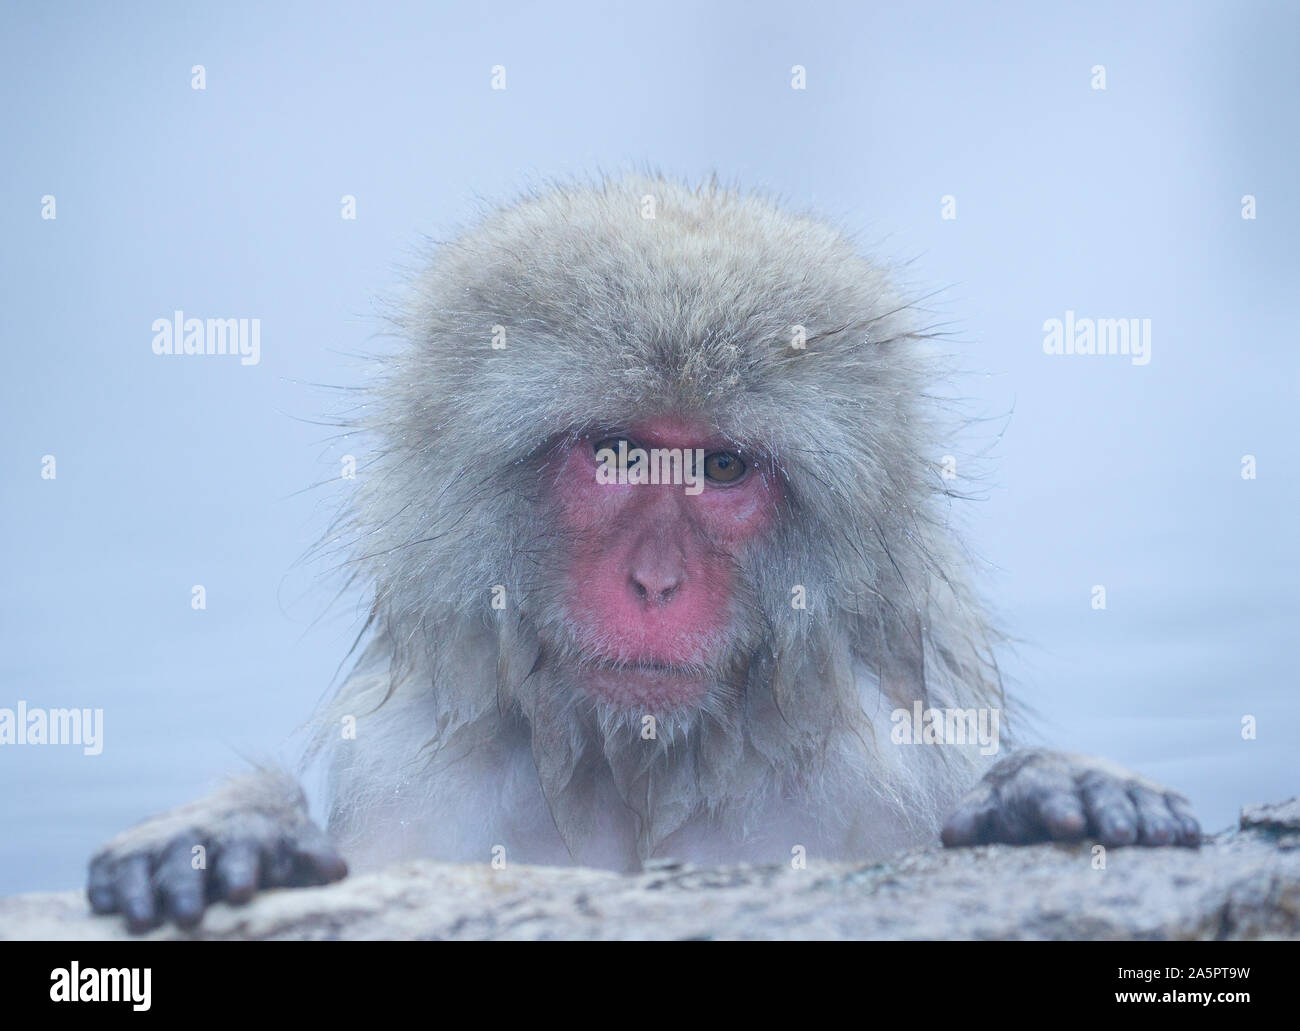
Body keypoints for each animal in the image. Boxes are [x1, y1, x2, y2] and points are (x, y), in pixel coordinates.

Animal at [86, 175, 1200, 932]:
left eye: (721, 465)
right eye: (618, 455)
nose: (656, 582)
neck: (643, 769)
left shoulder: (886, 778)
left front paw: (1044, 794)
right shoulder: (414, 786)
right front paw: (243, 830)